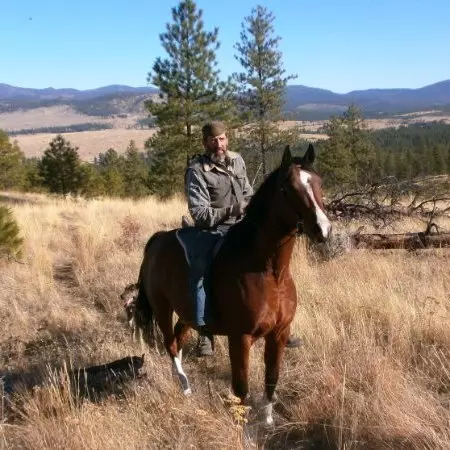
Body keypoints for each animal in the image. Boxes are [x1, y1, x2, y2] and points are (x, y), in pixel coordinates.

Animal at [132, 145, 328, 426]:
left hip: (187, 313)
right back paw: (184, 385)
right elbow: (241, 389)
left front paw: (268, 420)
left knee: (178, 340)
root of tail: (157, 241)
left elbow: (271, 379)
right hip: (161, 308)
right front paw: (243, 427)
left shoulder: (279, 334)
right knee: (170, 344)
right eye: (287, 189)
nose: (323, 229)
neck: (270, 273)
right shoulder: (240, 338)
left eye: (319, 183)